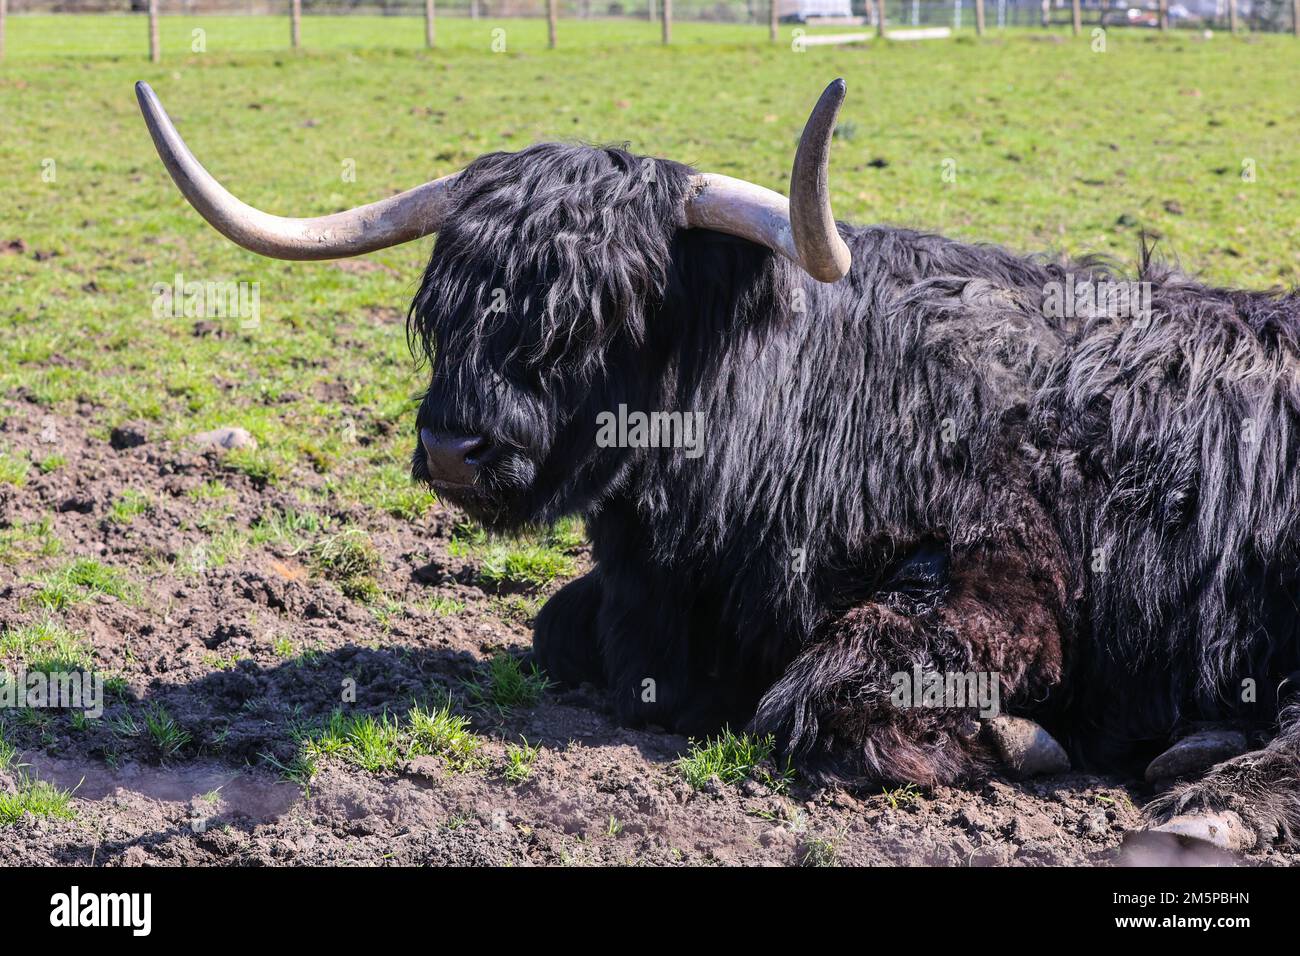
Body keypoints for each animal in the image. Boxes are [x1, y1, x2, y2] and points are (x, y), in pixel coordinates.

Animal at [136, 79, 1300, 858]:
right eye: (444, 299)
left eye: (602, 307)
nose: (454, 448)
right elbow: (558, 627)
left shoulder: (1004, 579)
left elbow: (822, 688)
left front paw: (1016, 736)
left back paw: (1207, 804)